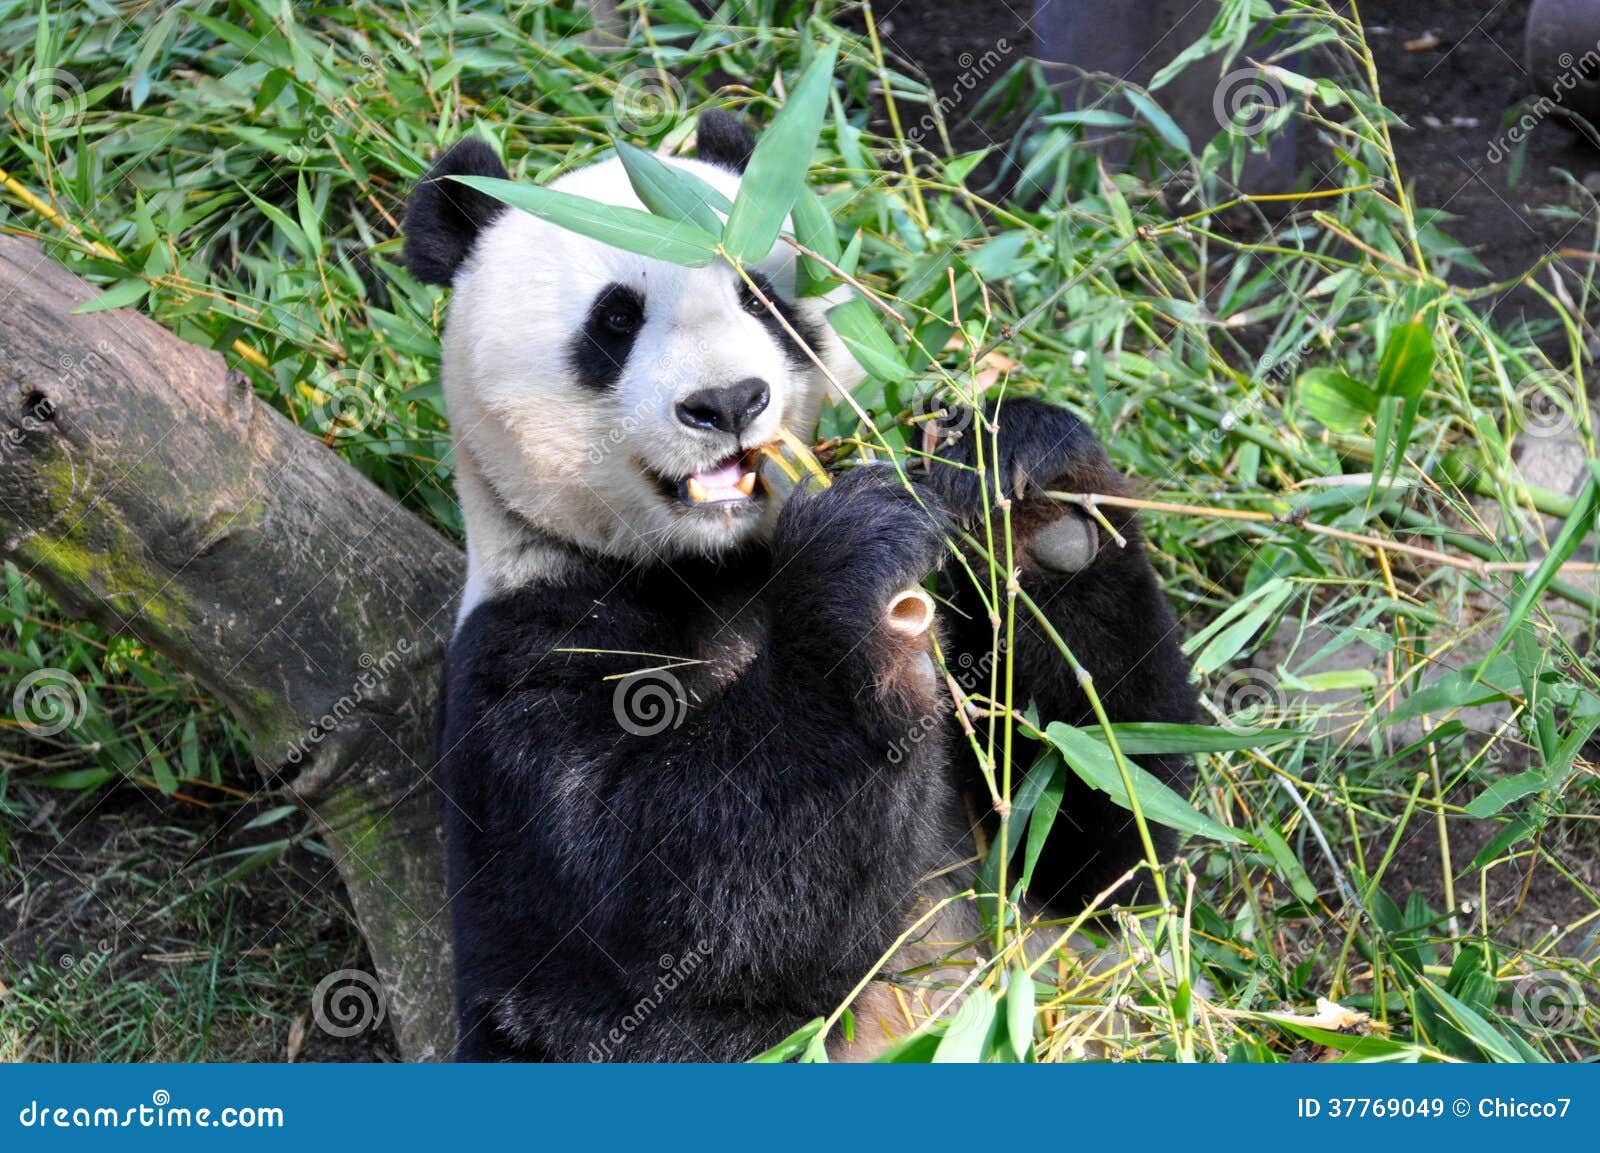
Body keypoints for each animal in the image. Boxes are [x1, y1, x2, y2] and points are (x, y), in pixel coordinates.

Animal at [403, 110, 1196, 1062]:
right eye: (616, 320)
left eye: (760, 299)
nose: (729, 401)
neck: (722, 559)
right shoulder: (525, 648)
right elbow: (653, 883)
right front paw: (856, 574)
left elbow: (1104, 839)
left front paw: (1029, 490)